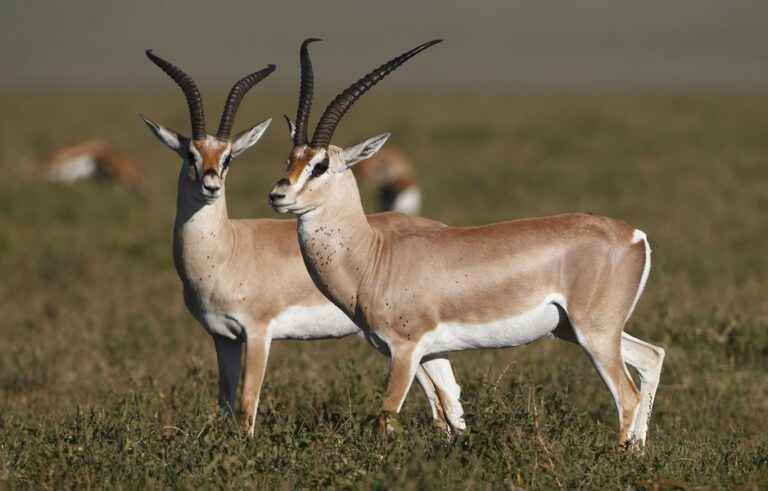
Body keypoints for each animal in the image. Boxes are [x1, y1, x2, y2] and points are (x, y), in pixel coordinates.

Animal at [141, 48, 465, 435]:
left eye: (227, 157)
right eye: (190, 154)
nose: (211, 186)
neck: (226, 250)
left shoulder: (258, 332)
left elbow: (246, 403)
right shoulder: (223, 337)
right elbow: (224, 403)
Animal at [269, 39, 666, 448]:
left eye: (320, 165)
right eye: (289, 159)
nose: (277, 195)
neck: (373, 256)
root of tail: (635, 235)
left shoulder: (404, 349)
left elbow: (387, 417)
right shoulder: (433, 353)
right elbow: (451, 415)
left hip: (594, 333)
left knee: (628, 394)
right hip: (578, 330)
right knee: (652, 356)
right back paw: (639, 451)